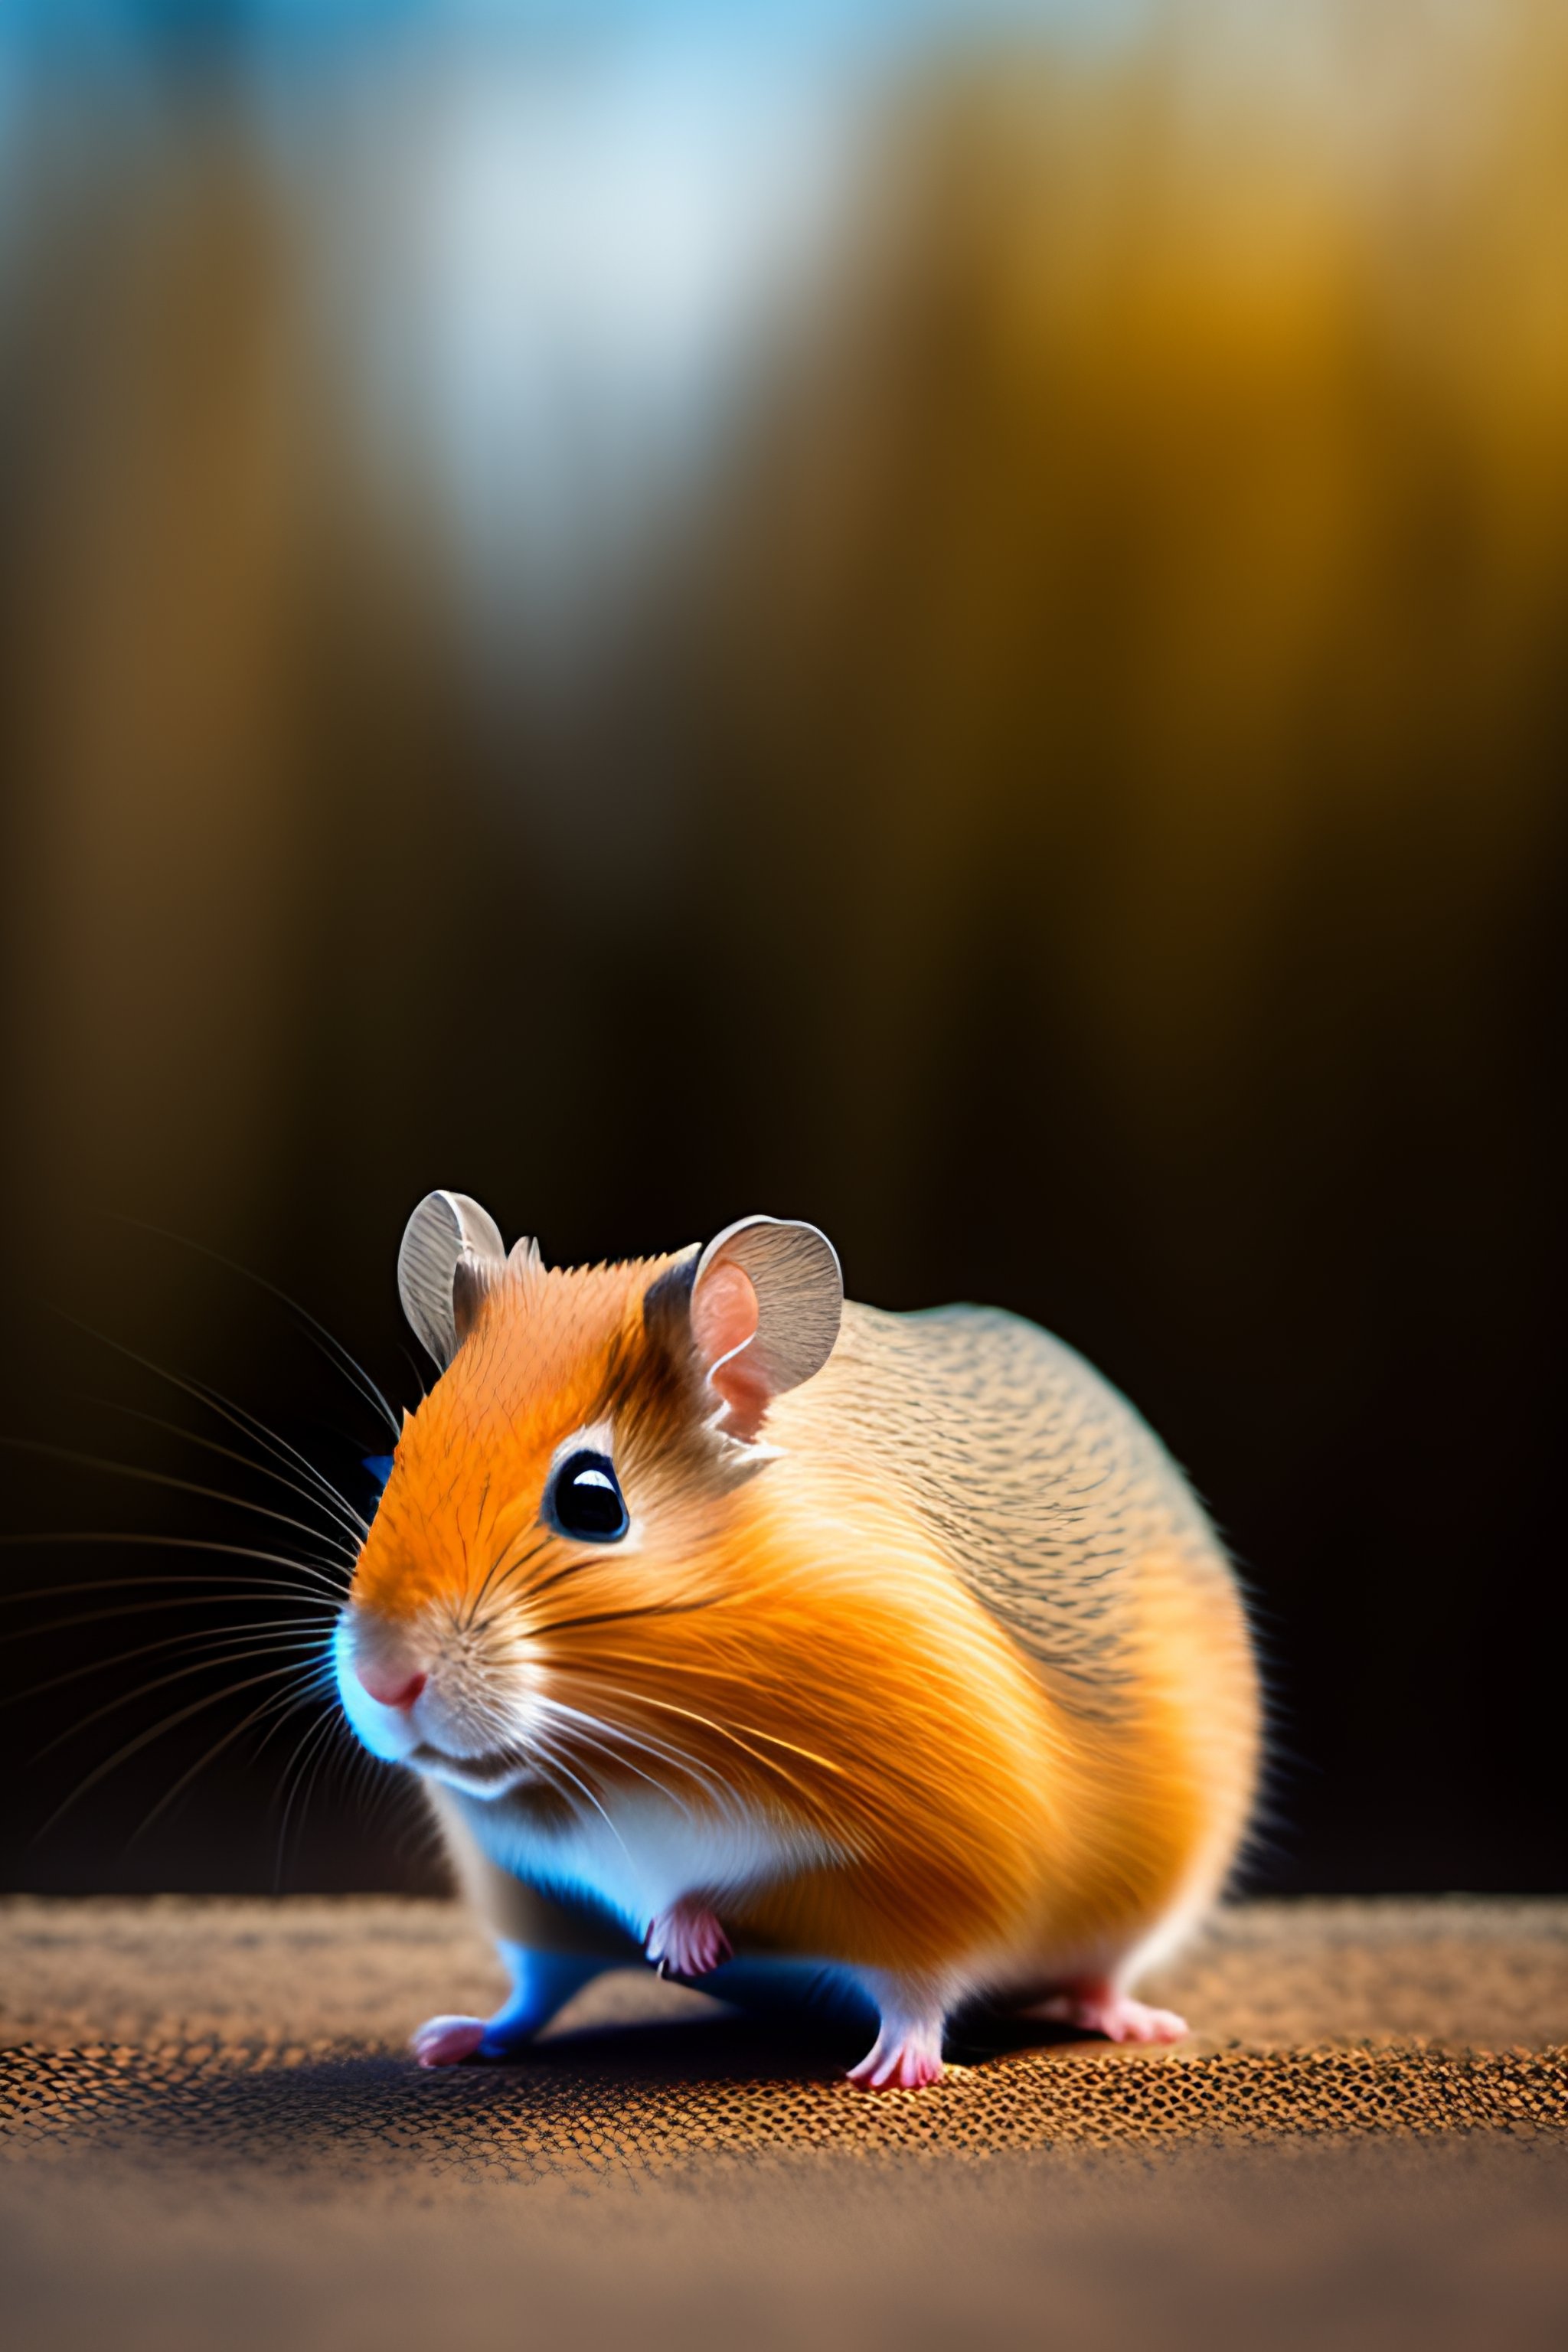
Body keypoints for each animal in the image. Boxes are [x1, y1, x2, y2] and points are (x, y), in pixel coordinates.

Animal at [336, 1192, 1260, 2089]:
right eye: (388, 1472)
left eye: (593, 1501)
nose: (384, 1682)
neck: (627, 1755)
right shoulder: (539, 1876)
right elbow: (598, 1928)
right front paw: (677, 1950)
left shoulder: (946, 1867)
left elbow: (911, 1977)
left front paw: (886, 2070)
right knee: (531, 1998)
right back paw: (450, 2039)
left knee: (1073, 1978)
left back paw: (1107, 2029)